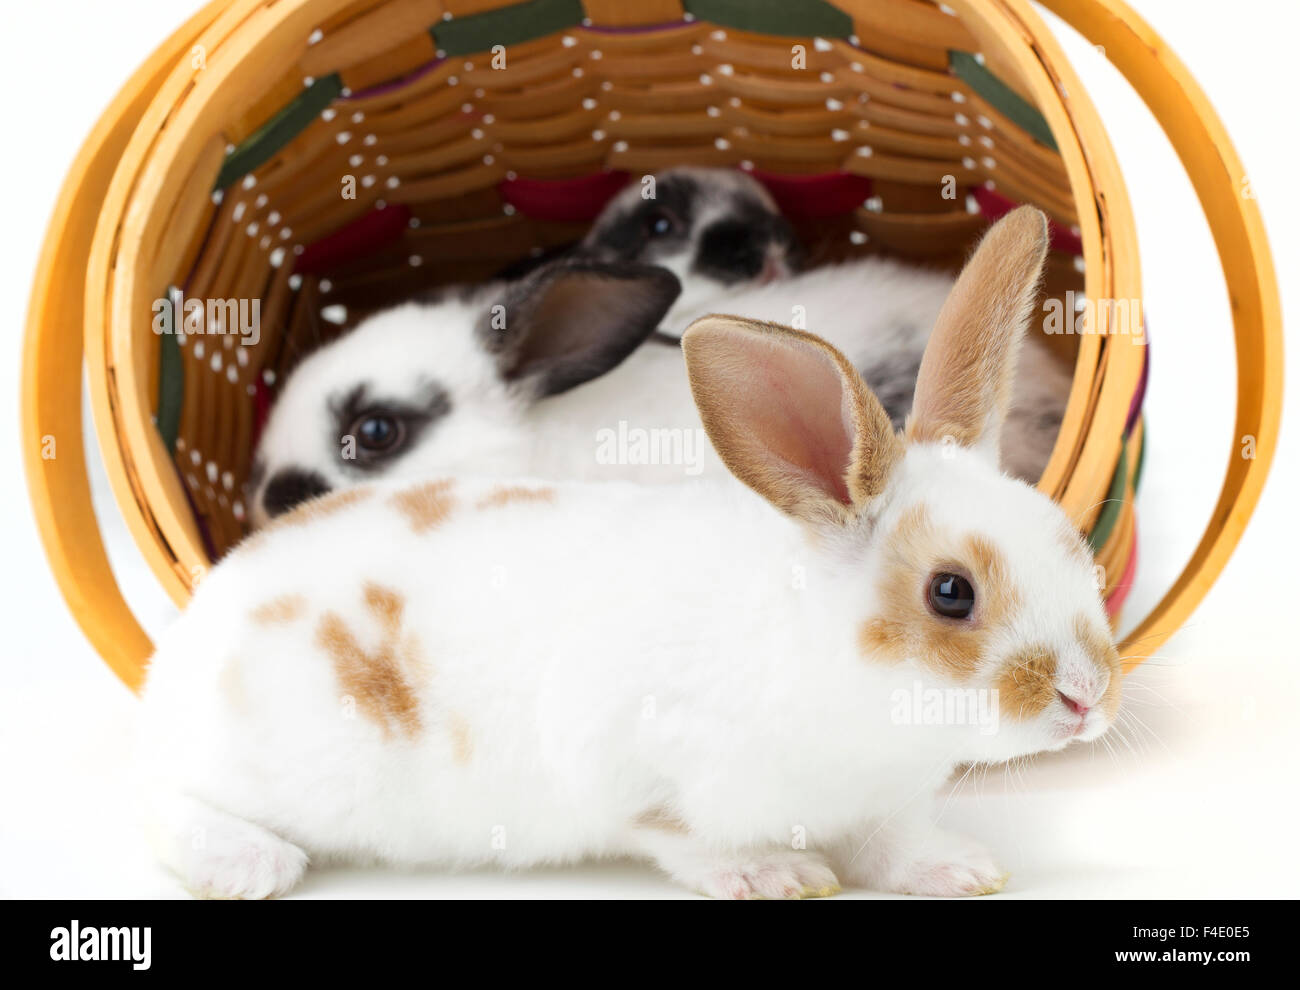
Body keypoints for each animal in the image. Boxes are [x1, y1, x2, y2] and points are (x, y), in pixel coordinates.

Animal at [137, 207, 1121, 899]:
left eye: (1074, 548)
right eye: (951, 593)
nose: (1088, 698)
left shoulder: (878, 803)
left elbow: (890, 843)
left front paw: (961, 870)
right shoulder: (633, 774)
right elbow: (683, 840)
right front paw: (776, 876)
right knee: (153, 804)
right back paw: (247, 865)